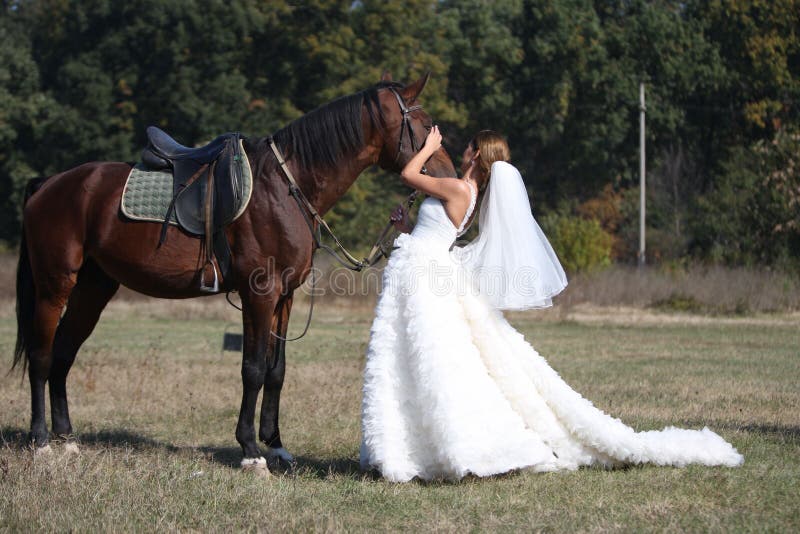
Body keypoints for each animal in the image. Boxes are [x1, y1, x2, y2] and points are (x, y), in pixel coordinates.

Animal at [13, 73, 456, 472]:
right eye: (422, 125)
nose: (449, 175)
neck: (285, 188)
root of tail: (49, 184)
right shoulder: (259, 293)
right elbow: (253, 368)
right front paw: (250, 451)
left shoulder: (284, 296)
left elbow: (276, 370)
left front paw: (276, 446)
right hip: (55, 285)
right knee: (42, 356)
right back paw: (41, 442)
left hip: (93, 288)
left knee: (64, 354)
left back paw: (68, 439)